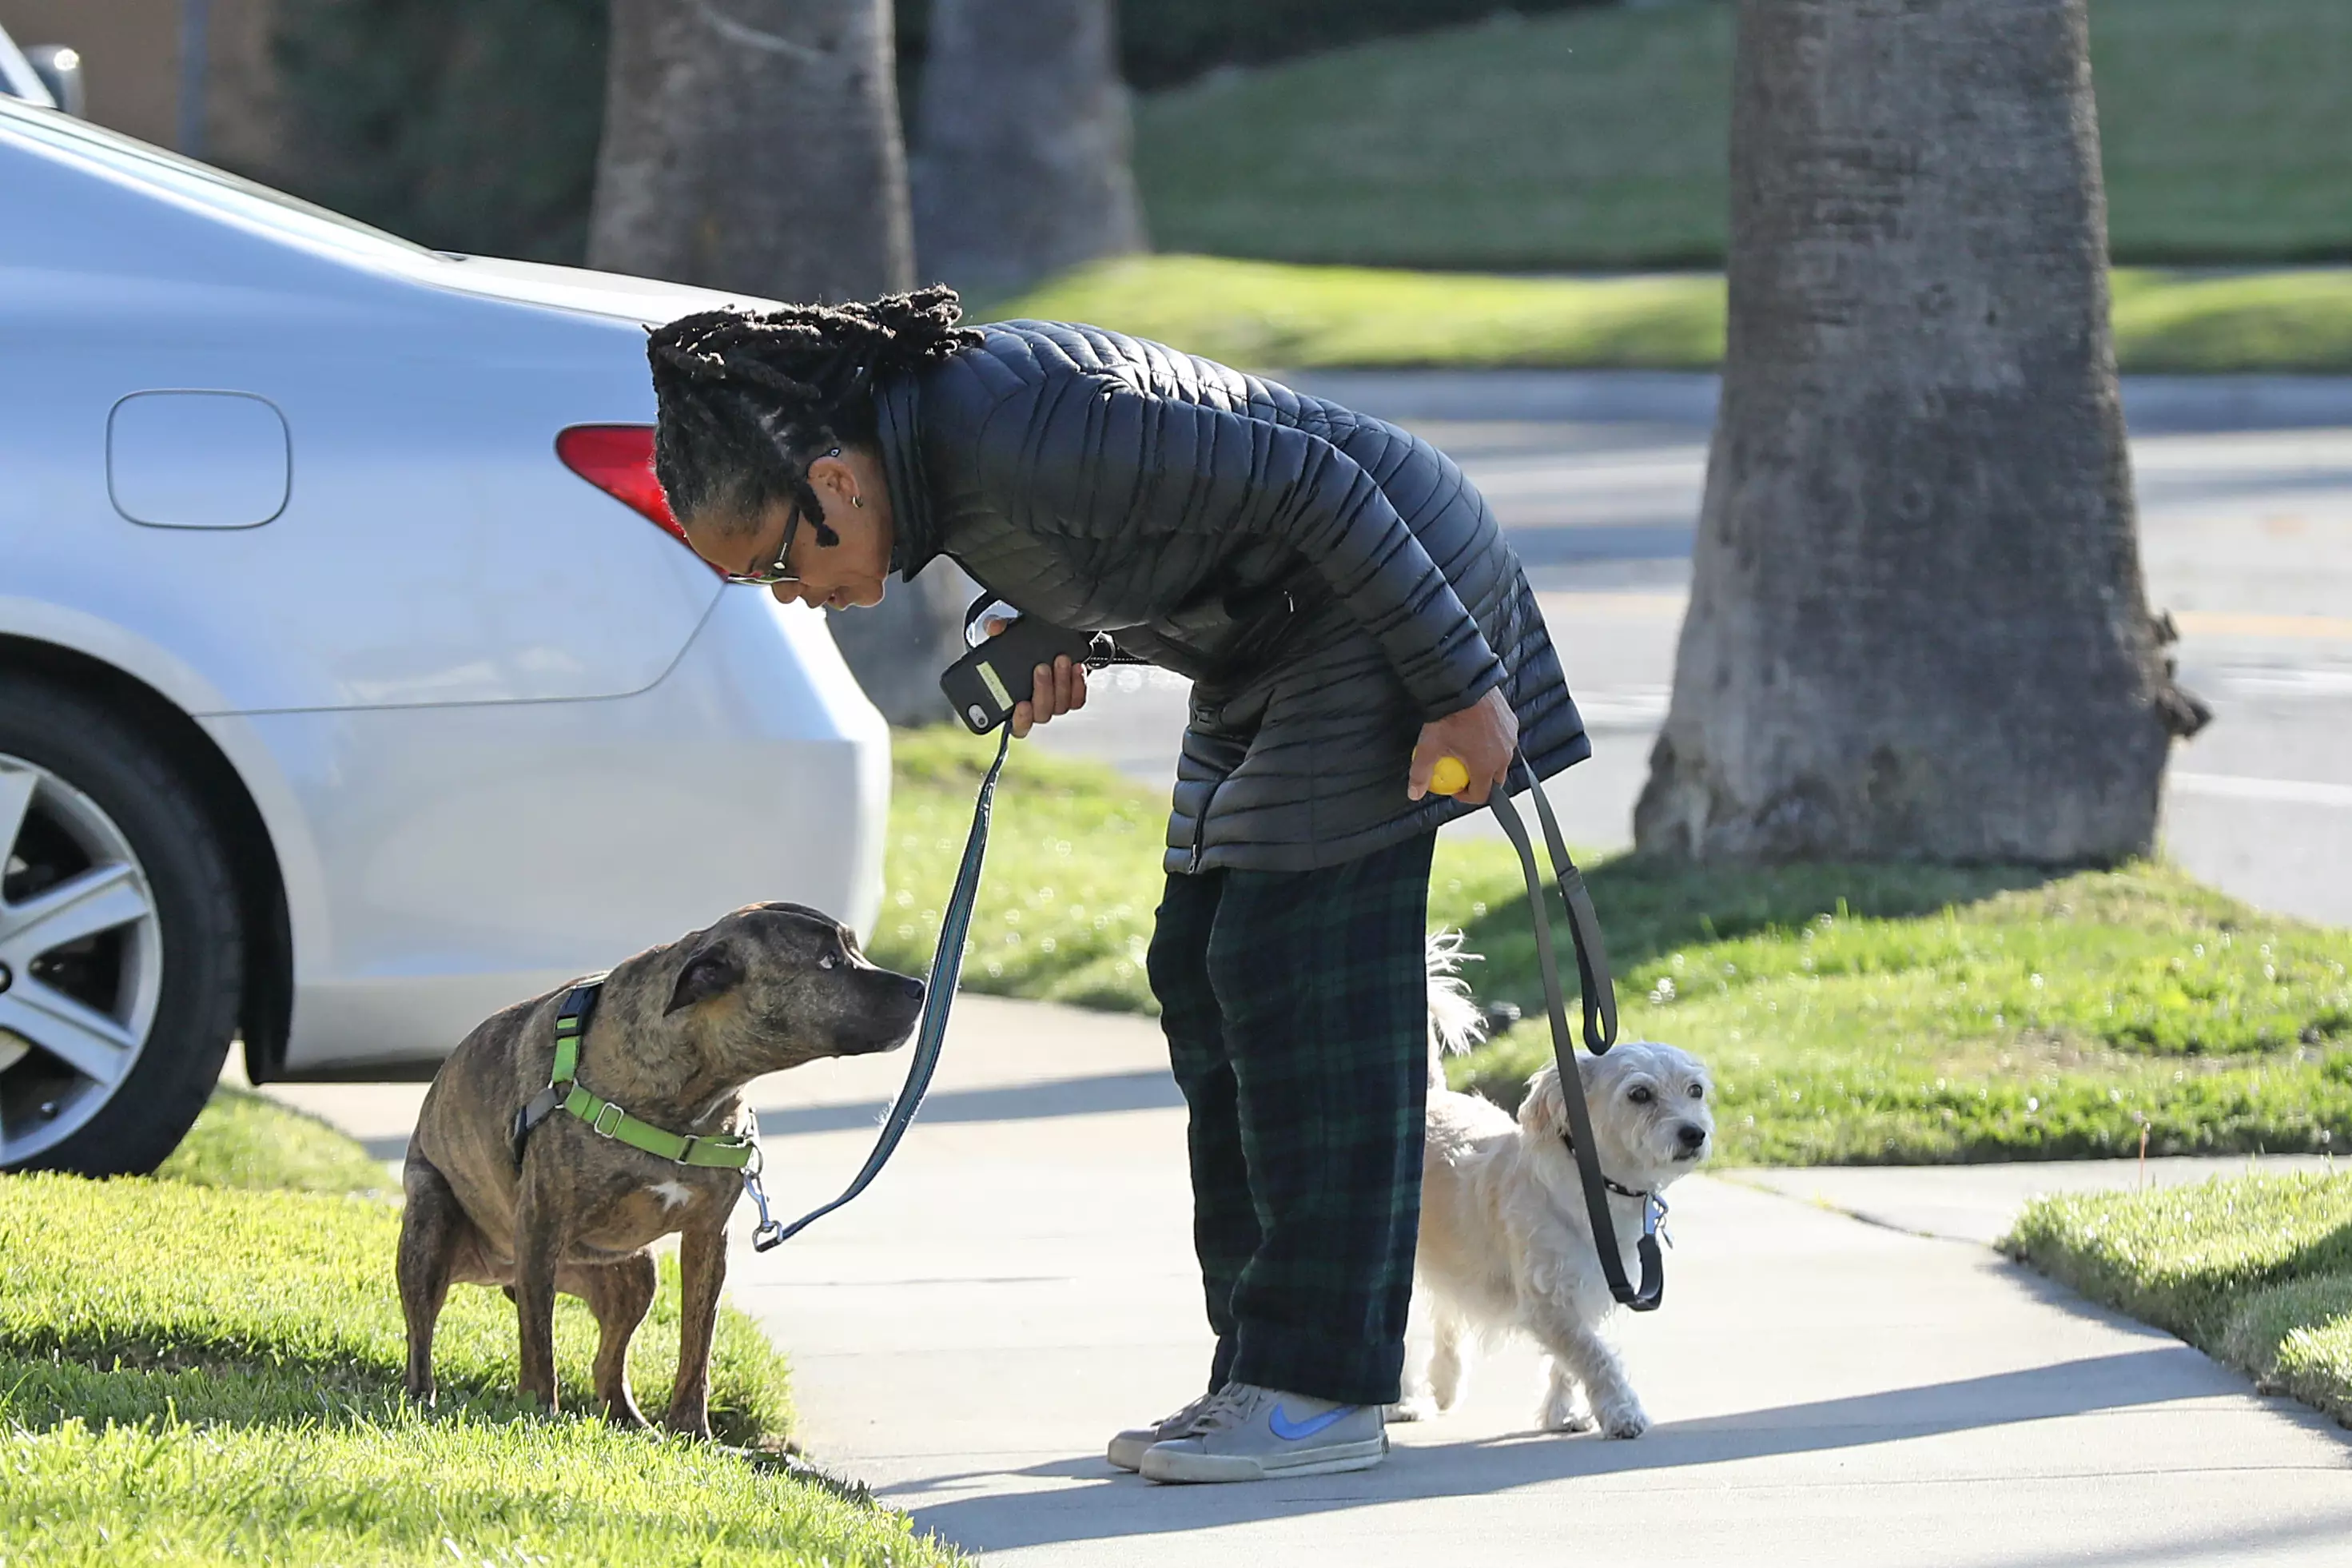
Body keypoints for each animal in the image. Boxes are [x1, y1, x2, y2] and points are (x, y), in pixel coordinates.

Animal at [400, 907, 921, 1439]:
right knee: (421, 1332)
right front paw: (538, 1413)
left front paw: (692, 1433)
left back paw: (633, 1423)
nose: (920, 987)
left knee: (608, 1365)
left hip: (635, 1273)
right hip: (431, 1224)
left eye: (855, 949)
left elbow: (698, 1344)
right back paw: (423, 1398)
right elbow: (539, 1344)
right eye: (829, 961)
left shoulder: (708, 1236)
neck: (692, 1087)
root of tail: (496, 1267)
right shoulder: (542, 1226)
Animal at [1392, 940, 1712, 1439]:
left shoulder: (1590, 1289)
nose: (1694, 1134)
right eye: (1639, 1095)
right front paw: (1621, 1412)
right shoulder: (1549, 1302)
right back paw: (1405, 1401)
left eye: (1695, 1091)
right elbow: (1592, 1355)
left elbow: (1569, 1363)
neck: (1596, 1189)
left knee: (1447, 1315)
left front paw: (1564, 1412)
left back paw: (1444, 1385)